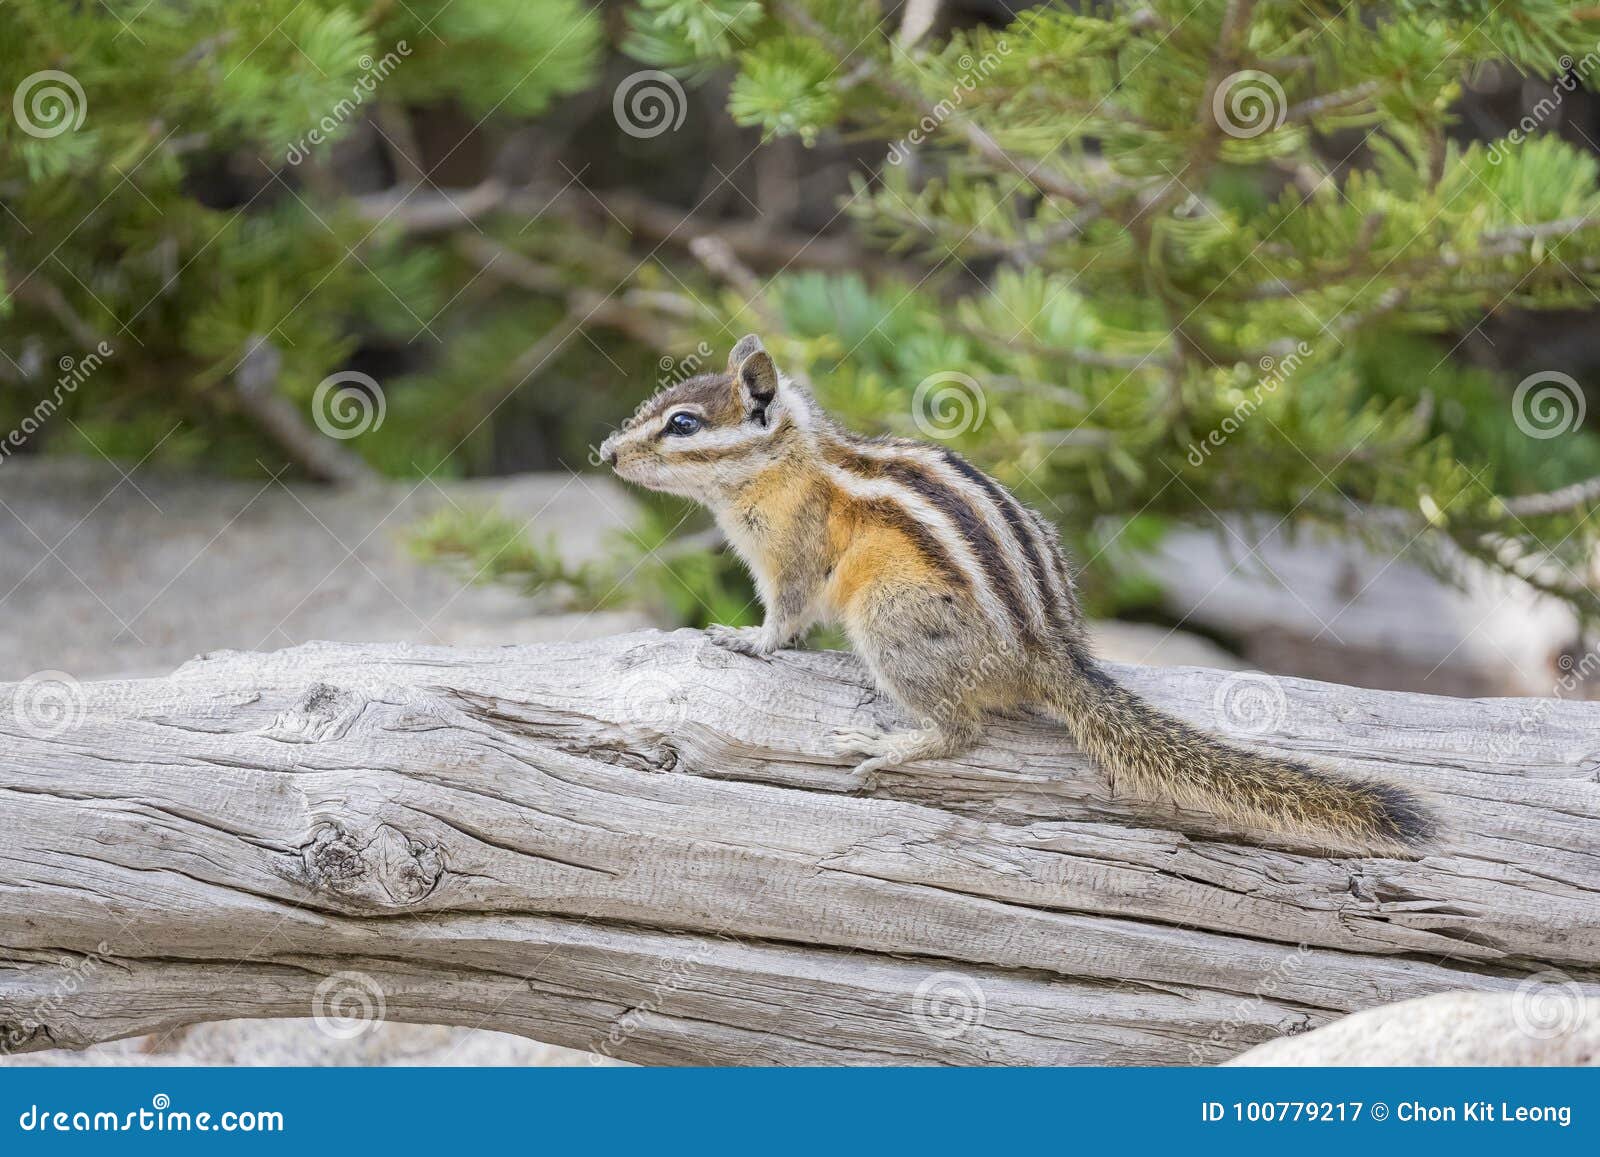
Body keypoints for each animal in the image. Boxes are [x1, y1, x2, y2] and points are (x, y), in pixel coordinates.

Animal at [599, 334, 1433, 854]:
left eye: (682, 424)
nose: (605, 451)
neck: (791, 463)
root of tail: (1049, 650)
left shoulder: (794, 552)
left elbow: (787, 613)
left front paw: (747, 639)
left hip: (890, 620)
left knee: (963, 731)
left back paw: (888, 745)